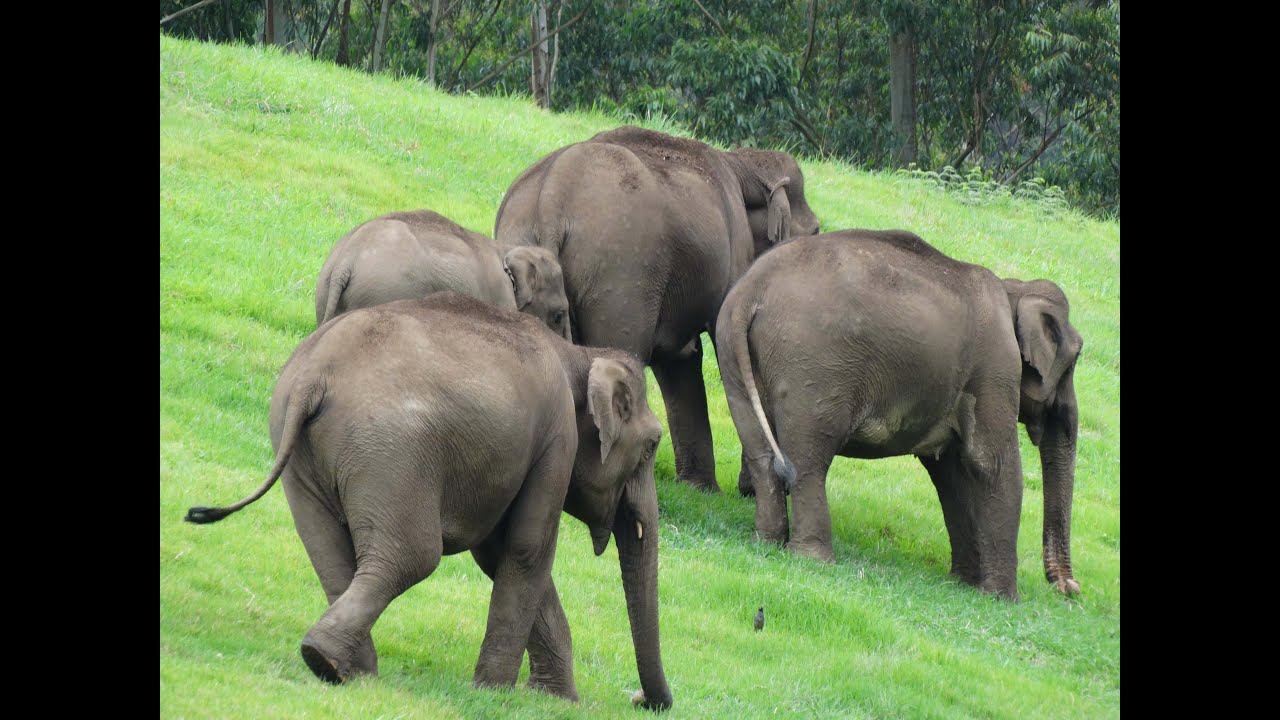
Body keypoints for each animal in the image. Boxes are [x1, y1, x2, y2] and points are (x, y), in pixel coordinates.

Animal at [185, 292, 672, 709]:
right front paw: (494, 695)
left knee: (330, 553)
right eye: (652, 446)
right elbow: (527, 549)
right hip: (391, 451)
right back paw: (326, 659)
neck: (579, 355)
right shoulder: (556, 438)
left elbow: (497, 554)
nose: (642, 700)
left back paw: (345, 670)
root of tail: (313, 376)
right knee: (411, 555)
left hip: (302, 453)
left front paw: (555, 701)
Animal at [315, 209, 572, 339]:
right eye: (559, 316)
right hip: (382, 291)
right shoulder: (501, 300)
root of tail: (347, 259)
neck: (507, 250)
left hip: (325, 290)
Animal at [495, 125, 821, 493]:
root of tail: (553, 195)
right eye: (815, 230)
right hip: (624, 272)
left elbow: (681, 357)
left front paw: (699, 489)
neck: (740, 165)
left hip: (524, 242)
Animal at [715, 230, 1083, 600]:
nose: (1071, 590)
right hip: (811, 367)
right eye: (1075, 358)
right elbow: (990, 463)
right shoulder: (995, 368)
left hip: (733, 355)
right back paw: (814, 559)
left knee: (762, 454)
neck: (1013, 290)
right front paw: (1001, 600)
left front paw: (963, 583)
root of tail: (751, 291)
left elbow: (949, 472)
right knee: (808, 459)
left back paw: (767, 543)